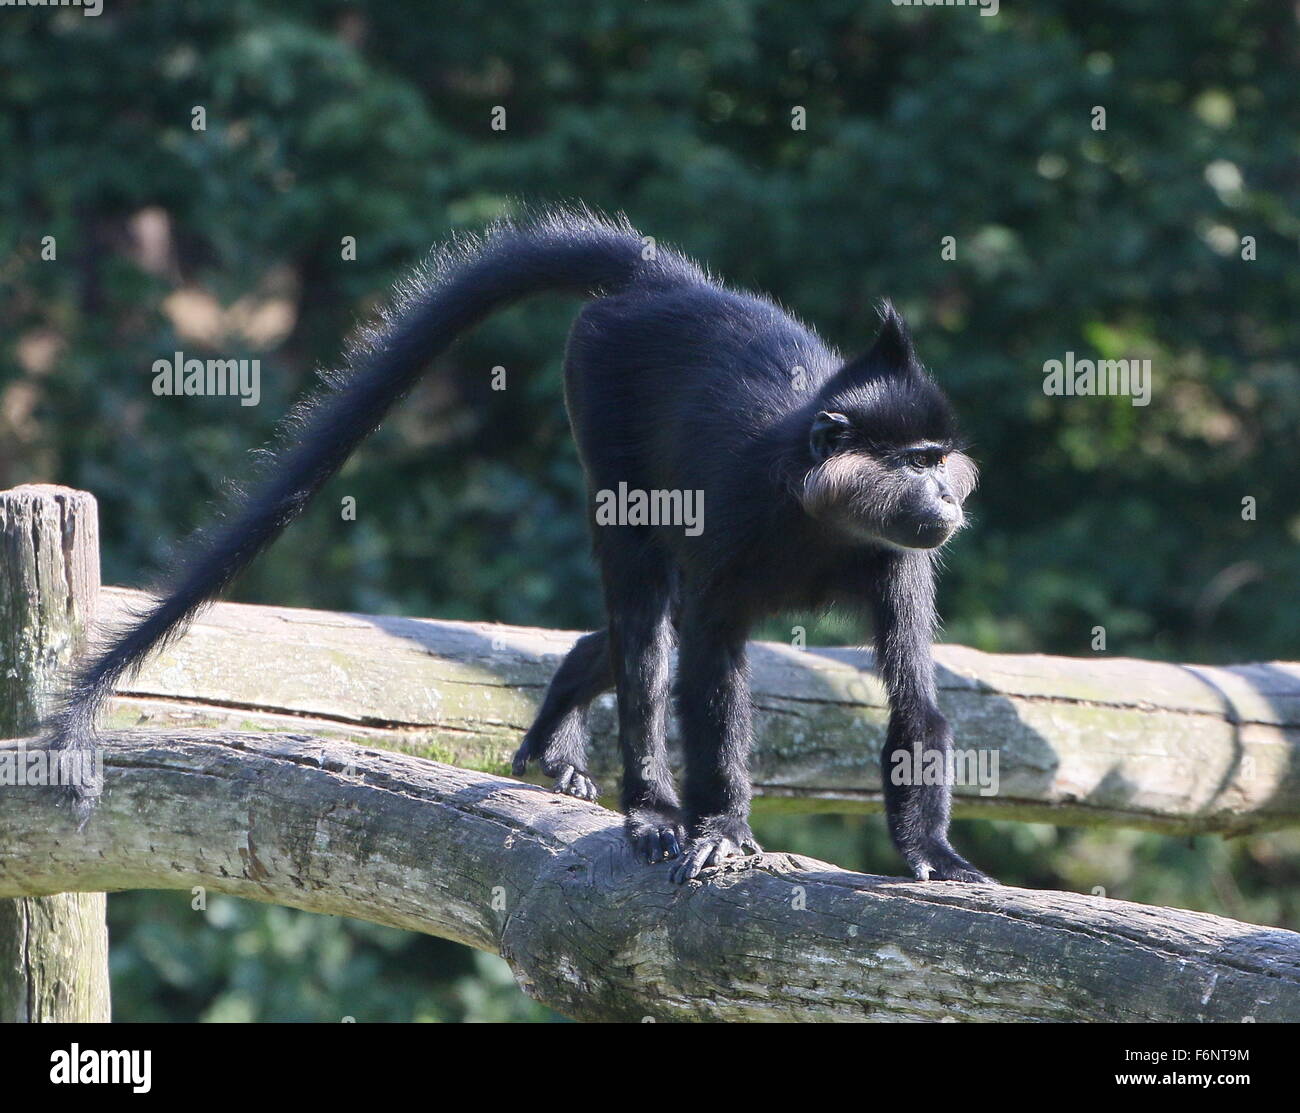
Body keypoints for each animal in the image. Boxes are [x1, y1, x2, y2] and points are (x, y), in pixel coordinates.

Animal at [48, 205, 991, 885]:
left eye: (940, 459)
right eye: (914, 462)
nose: (946, 496)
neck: (818, 515)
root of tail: (658, 279)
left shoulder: (899, 558)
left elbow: (916, 701)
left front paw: (935, 857)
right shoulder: (736, 513)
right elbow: (708, 671)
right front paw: (720, 824)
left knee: (641, 622)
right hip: (598, 382)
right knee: (644, 609)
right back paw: (650, 805)